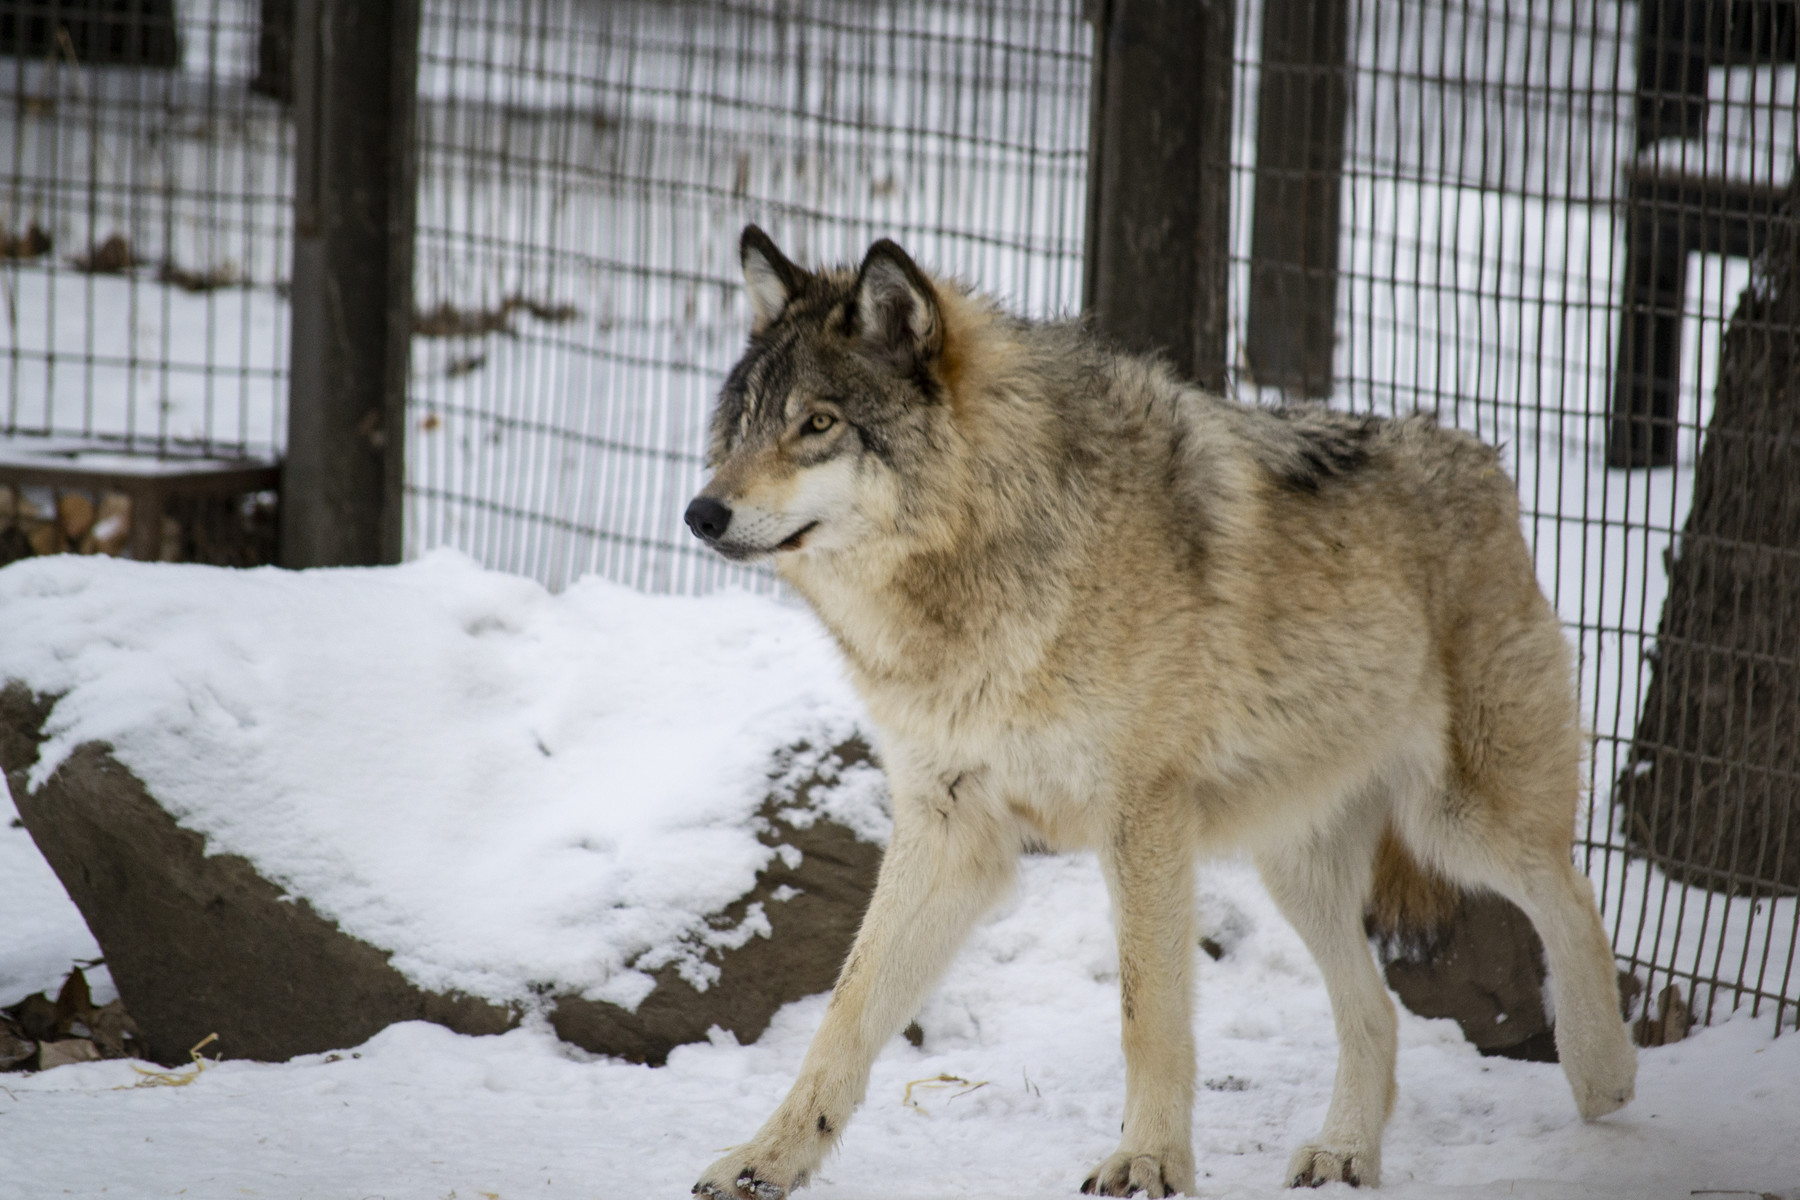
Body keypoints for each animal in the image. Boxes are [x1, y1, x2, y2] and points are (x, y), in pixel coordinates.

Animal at [684, 226, 1636, 1197]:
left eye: (819, 424)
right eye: (744, 425)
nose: (700, 512)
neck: (981, 563)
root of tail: (1482, 455)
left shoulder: (1140, 816)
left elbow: (1148, 1015)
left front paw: (1146, 1161)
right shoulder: (949, 828)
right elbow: (843, 1016)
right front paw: (763, 1161)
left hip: (1461, 820)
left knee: (1570, 893)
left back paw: (1603, 1075)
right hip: (1295, 862)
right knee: (1378, 1012)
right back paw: (1344, 1153)